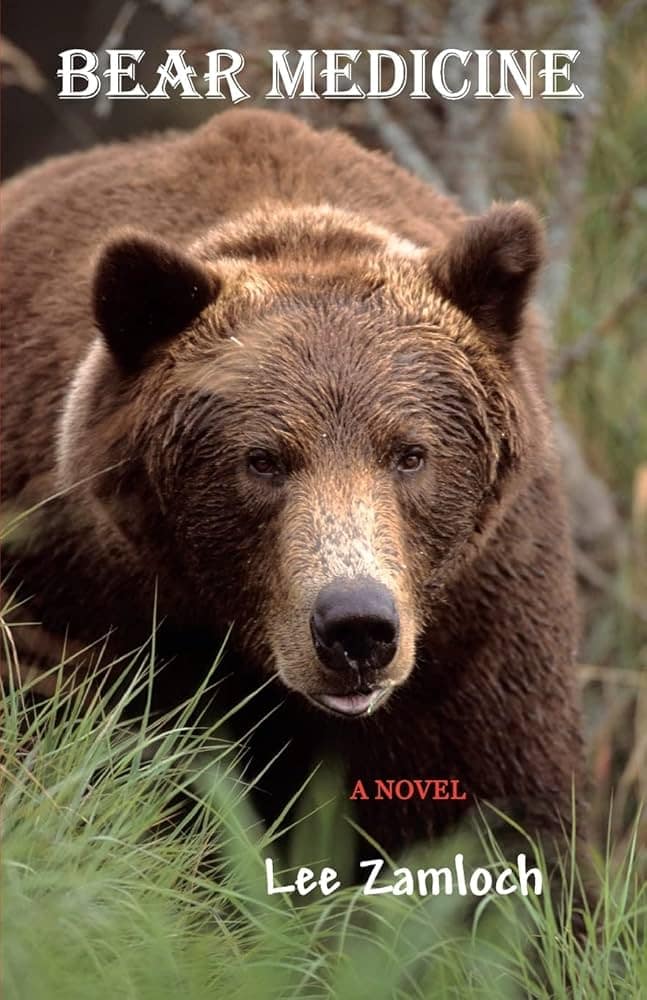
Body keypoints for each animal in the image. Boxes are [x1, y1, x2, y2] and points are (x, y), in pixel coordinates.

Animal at [1, 108, 584, 859]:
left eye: (410, 454)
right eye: (263, 460)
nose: (356, 627)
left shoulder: (481, 616)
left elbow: (504, 810)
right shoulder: (83, 596)